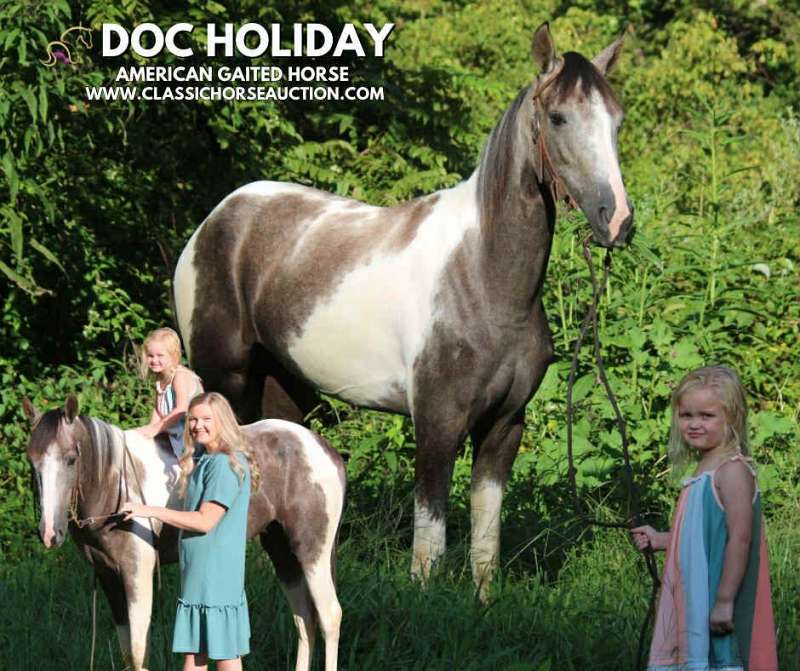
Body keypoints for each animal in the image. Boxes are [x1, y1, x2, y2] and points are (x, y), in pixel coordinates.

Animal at [22, 394, 345, 671]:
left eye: (71, 459)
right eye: (32, 461)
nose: (50, 533)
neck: (114, 483)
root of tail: (323, 449)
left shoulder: (136, 573)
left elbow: (138, 652)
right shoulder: (108, 575)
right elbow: (128, 652)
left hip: (312, 553)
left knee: (329, 616)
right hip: (283, 554)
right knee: (304, 620)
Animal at [173, 23, 633, 599]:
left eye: (616, 120)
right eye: (558, 117)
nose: (617, 220)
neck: (485, 278)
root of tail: (216, 218)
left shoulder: (505, 425)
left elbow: (486, 530)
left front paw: (482, 602)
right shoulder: (437, 421)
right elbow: (431, 534)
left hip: (284, 386)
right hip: (225, 376)